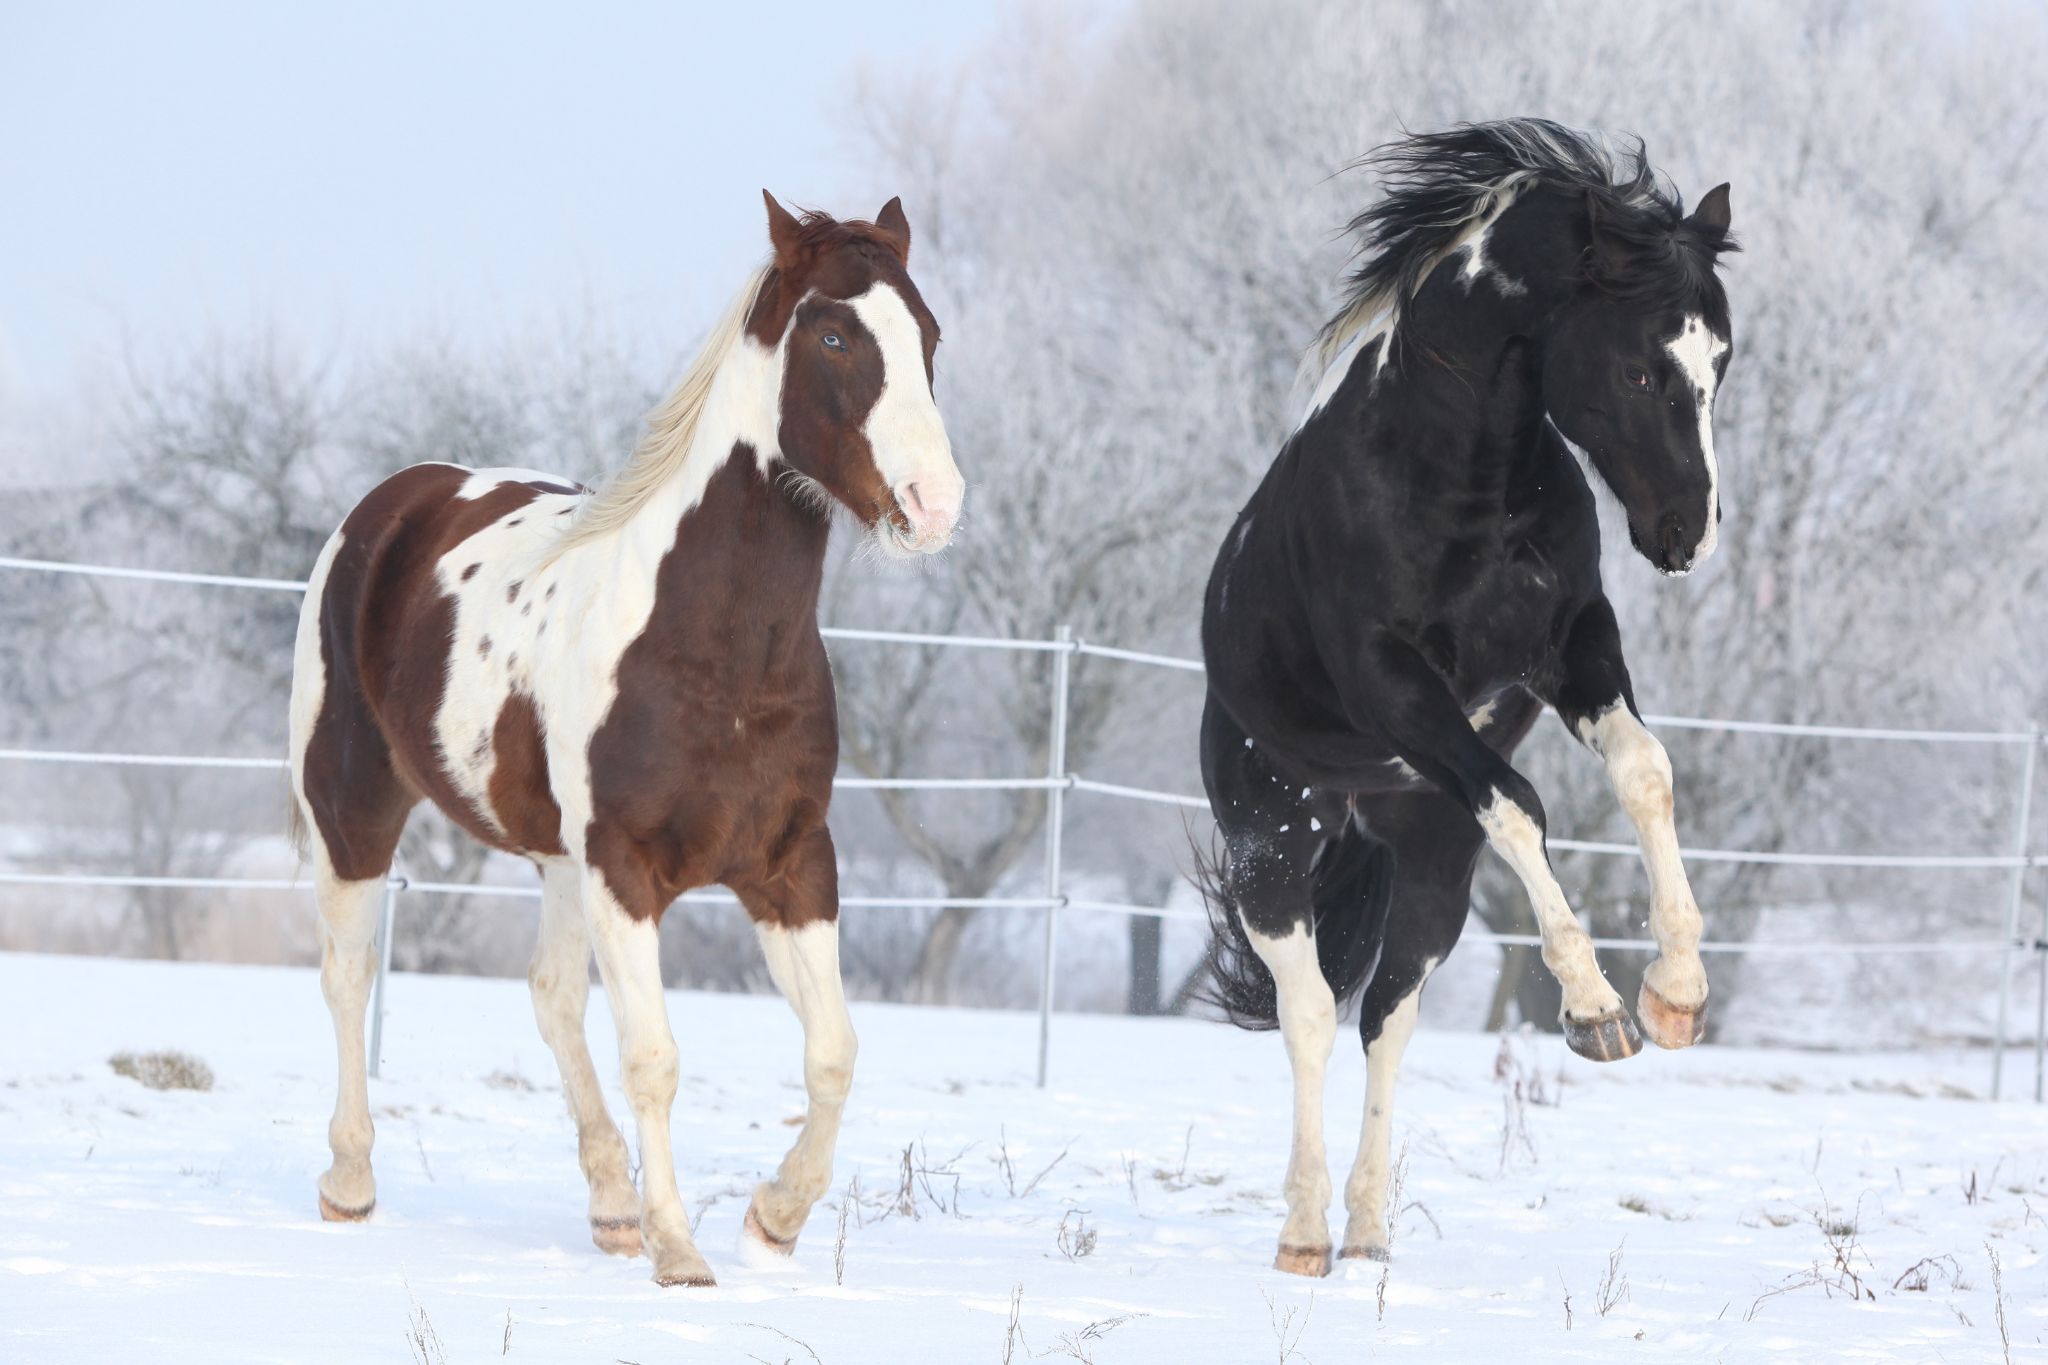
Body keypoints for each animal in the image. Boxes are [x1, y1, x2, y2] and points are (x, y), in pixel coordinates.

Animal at [286, 192, 964, 1288]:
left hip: (555, 858)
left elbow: (833, 1051)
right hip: (354, 808)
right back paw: (350, 1183)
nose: (932, 505)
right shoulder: (626, 866)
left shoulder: (789, 867)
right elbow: (655, 1058)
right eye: (832, 336)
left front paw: (771, 1218)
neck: (711, 651)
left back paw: (609, 1206)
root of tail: (394, 503)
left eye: (928, 335)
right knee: (348, 976)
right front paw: (681, 1250)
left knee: (553, 996)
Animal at [1197, 119, 1737, 1277]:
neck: (1455, 476)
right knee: (1310, 1017)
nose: (1688, 532)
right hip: (1271, 854)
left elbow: (1644, 770)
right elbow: (1519, 804)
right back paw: (1304, 1233)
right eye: (1637, 366)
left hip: (1432, 877)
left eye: (1718, 361)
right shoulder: (1396, 687)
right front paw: (1596, 1011)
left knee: (1383, 1022)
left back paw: (1365, 1233)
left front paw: (1674, 994)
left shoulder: (1571, 644)